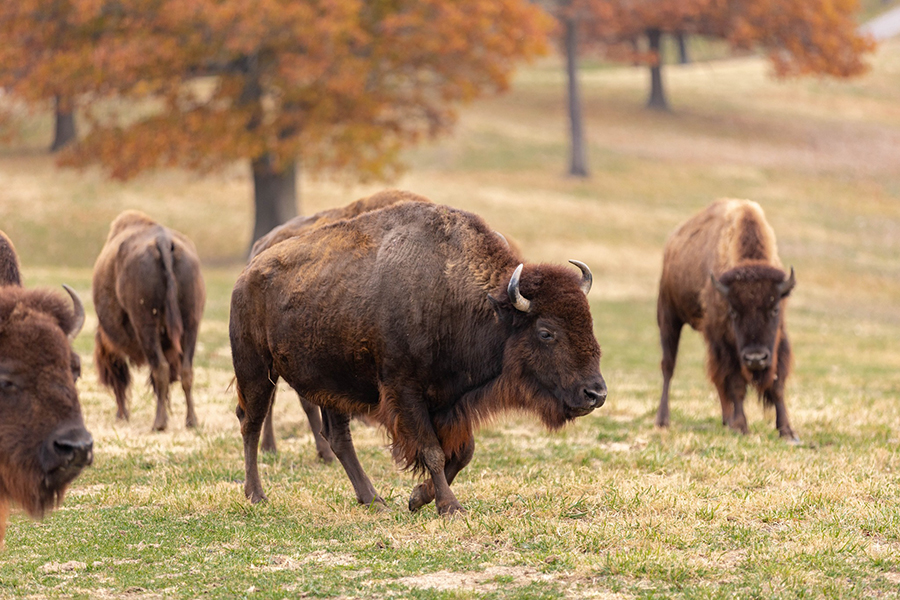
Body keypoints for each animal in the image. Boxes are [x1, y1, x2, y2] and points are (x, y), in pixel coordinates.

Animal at [92, 211, 206, 432]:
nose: (120, 416)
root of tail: (163, 241)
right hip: (191, 324)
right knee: (186, 371)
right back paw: (191, 421)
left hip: (146, 326)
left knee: (160, 368)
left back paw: (159, 423)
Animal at [655, 199, 797, 440]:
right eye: (733, 311)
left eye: (775, 308)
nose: (755, 358)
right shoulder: (726, 345)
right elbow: (736, 384)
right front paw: (741, 426)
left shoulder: (778, 342)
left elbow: (777, 384)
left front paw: (787, 431)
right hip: (668, 316)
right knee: (669, 366)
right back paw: (662, 419)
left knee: (717, 381)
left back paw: (726, 420)